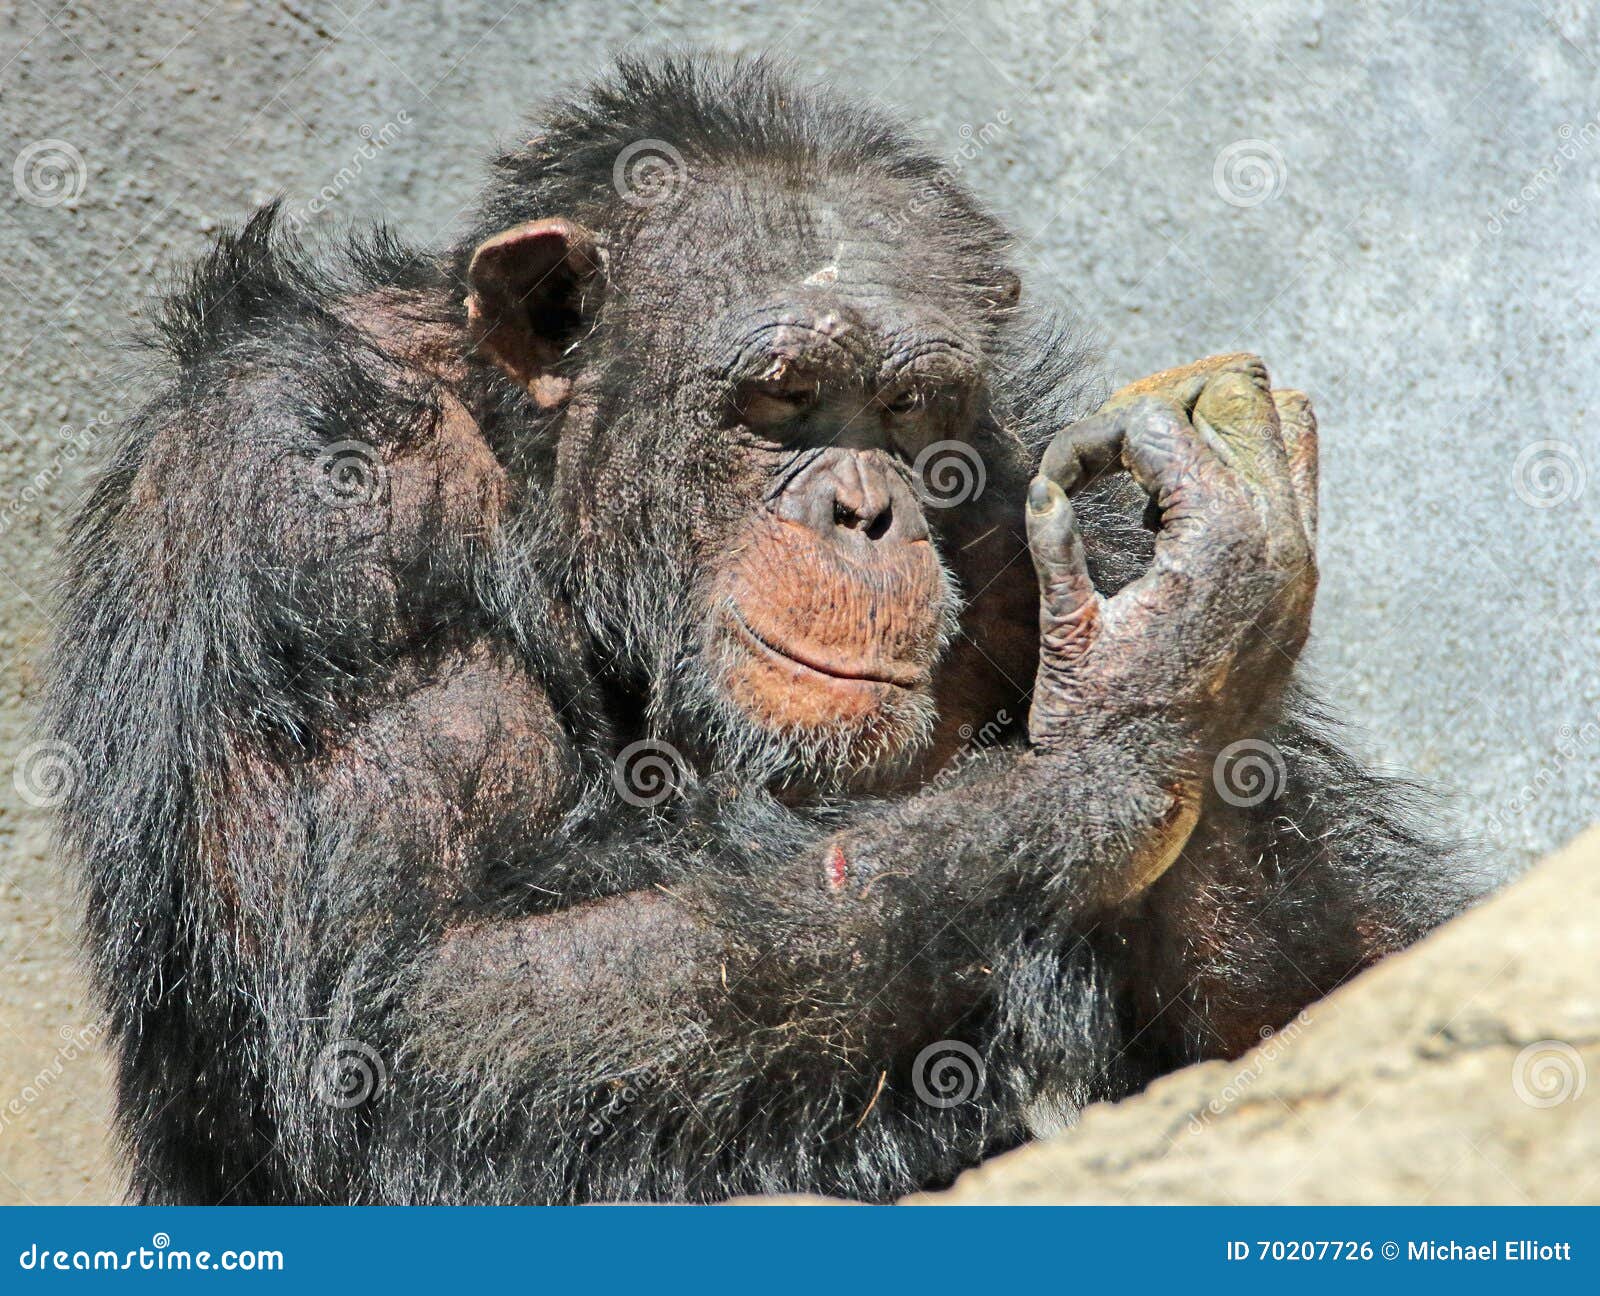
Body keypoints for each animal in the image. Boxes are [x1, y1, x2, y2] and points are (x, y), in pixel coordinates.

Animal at [45, 53, 1486, 1204]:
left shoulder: (1016, 487)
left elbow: (1331, 994)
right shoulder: (303, 501)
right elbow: (403, 1016)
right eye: (780, 397)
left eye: (909, 407)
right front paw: (1146, 703)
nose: (866, 509)